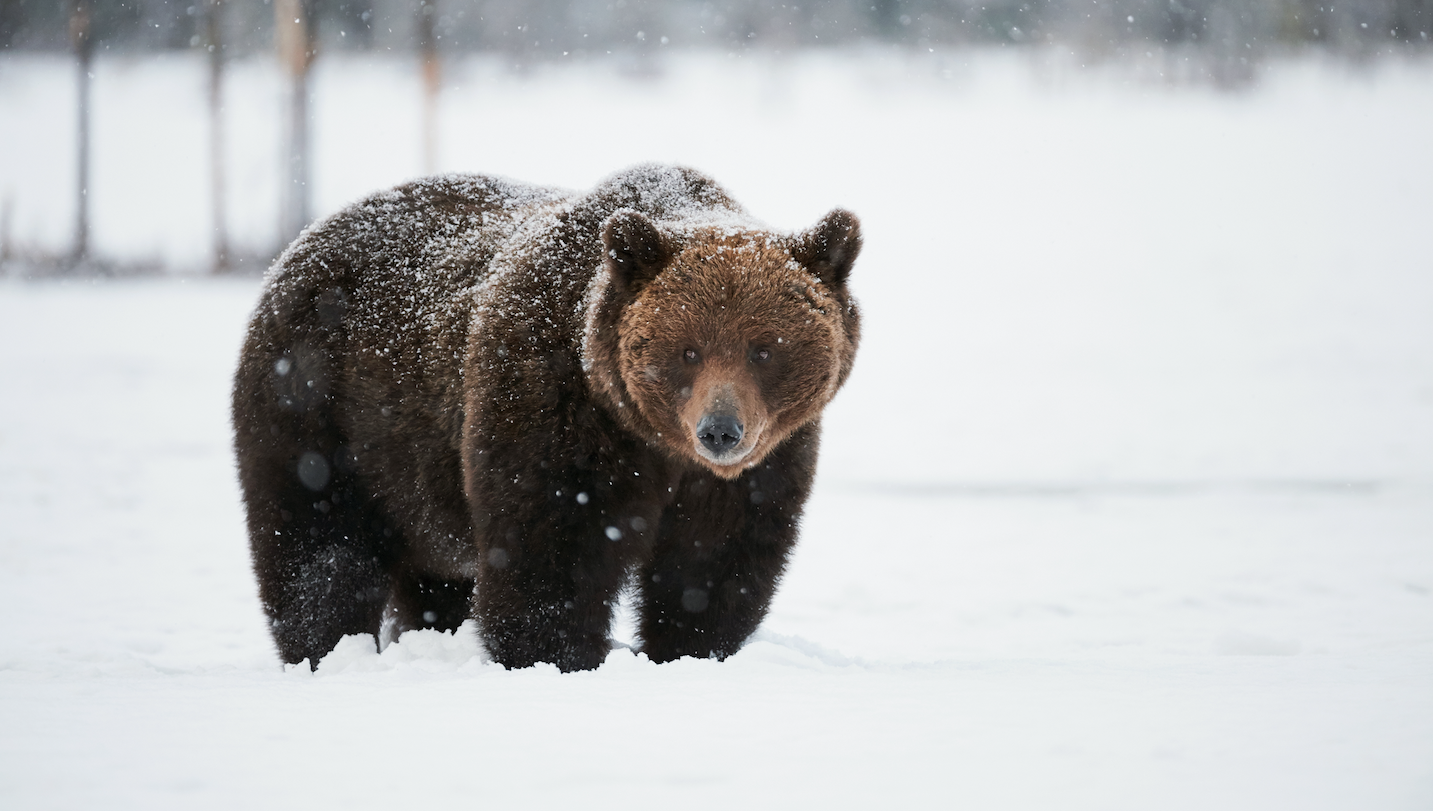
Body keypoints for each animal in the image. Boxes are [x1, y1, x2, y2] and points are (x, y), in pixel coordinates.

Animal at [232, 164, 861, 671]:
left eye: (764, 349)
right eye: (689, 350)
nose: (721, 431)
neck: (650, 439)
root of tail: (301, 244)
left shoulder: (762, 465)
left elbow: (713, 561)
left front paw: (692, 650)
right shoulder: (552, 406)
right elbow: (552, 548)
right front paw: (556, 658)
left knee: (431, 578)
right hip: (319, 408)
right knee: (318, 545)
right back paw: (326, 651)